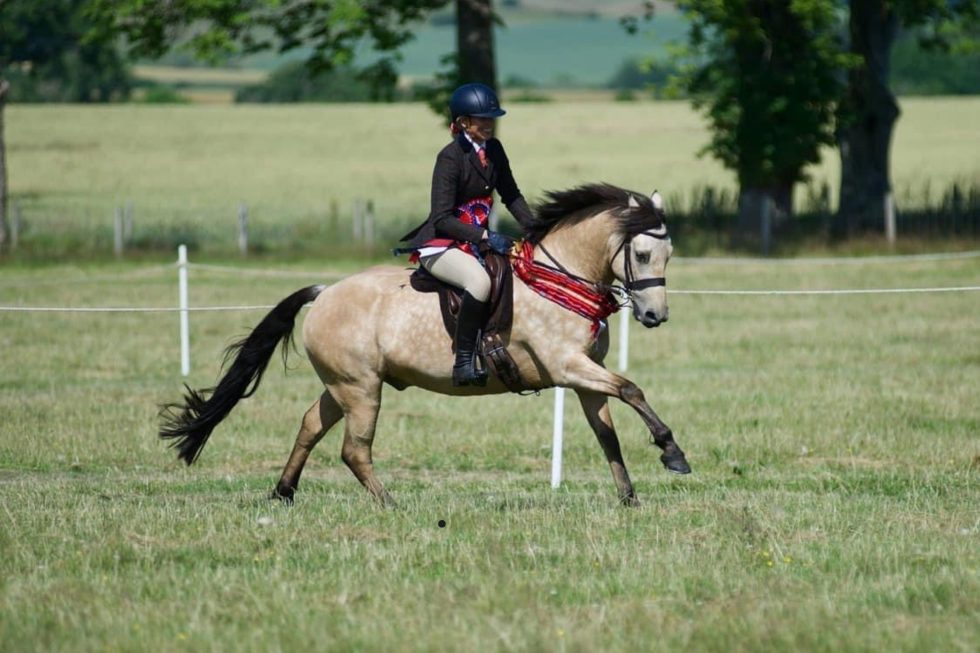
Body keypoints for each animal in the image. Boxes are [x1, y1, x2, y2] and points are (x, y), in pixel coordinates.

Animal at [160, 183, 691, 507]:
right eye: (643, 253)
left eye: (668, 253)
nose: (655, 316)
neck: (558, 278)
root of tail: (324, 292)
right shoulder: (567, 366)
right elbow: (632, 389)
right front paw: (672, 453)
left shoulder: (582, 378)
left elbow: (608, 433)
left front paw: (629, 498)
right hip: (362, 389)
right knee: (354, 449)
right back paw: (389, 504)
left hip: (343, 385)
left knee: (311, 425)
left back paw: (284, 492)